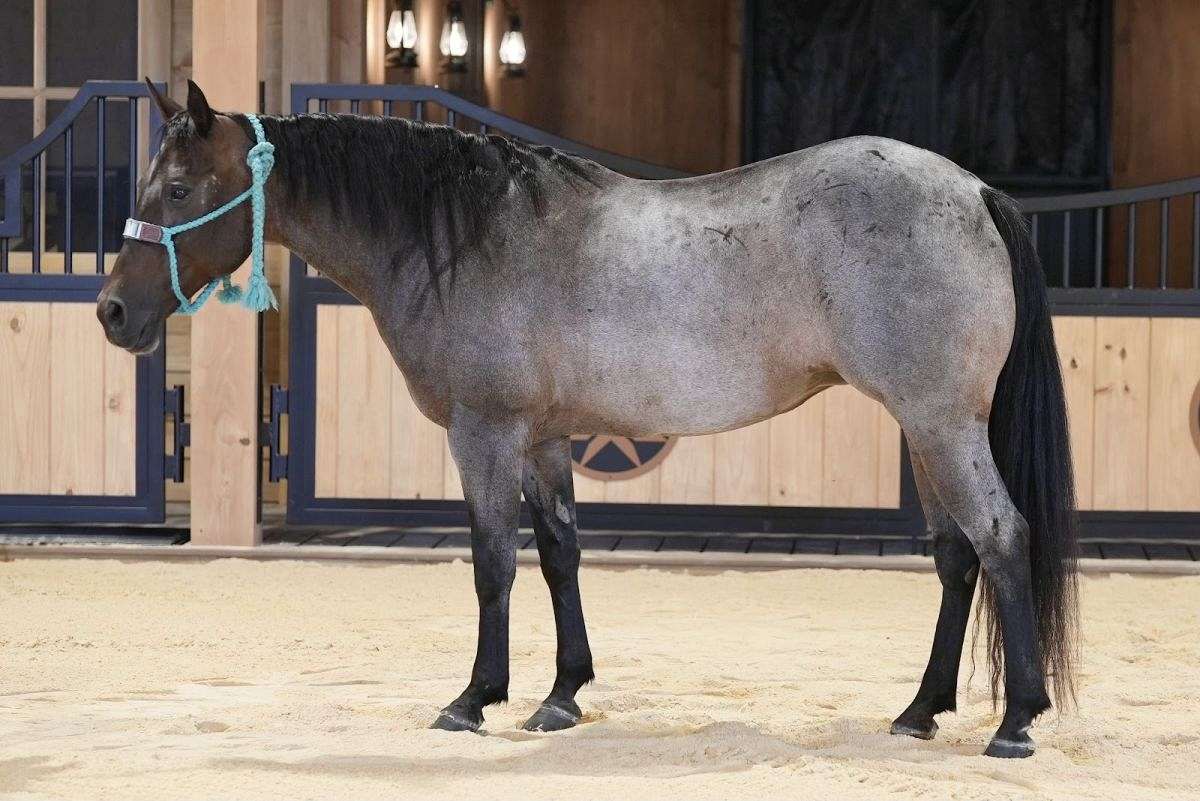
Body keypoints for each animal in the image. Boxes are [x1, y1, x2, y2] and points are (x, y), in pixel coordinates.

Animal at [97, 79, 1078, 758]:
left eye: (178, 187)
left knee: (1000, 535)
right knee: (956, 558)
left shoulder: (484, 433)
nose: (112, 312)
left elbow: (493, 564)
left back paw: (1017, 721)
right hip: (924, 428)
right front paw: (561, 695)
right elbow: (561, 553)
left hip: (941, 422)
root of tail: (975, 191)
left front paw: (472, 699)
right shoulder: (545, 438)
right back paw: (919, 712)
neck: (464, 235)